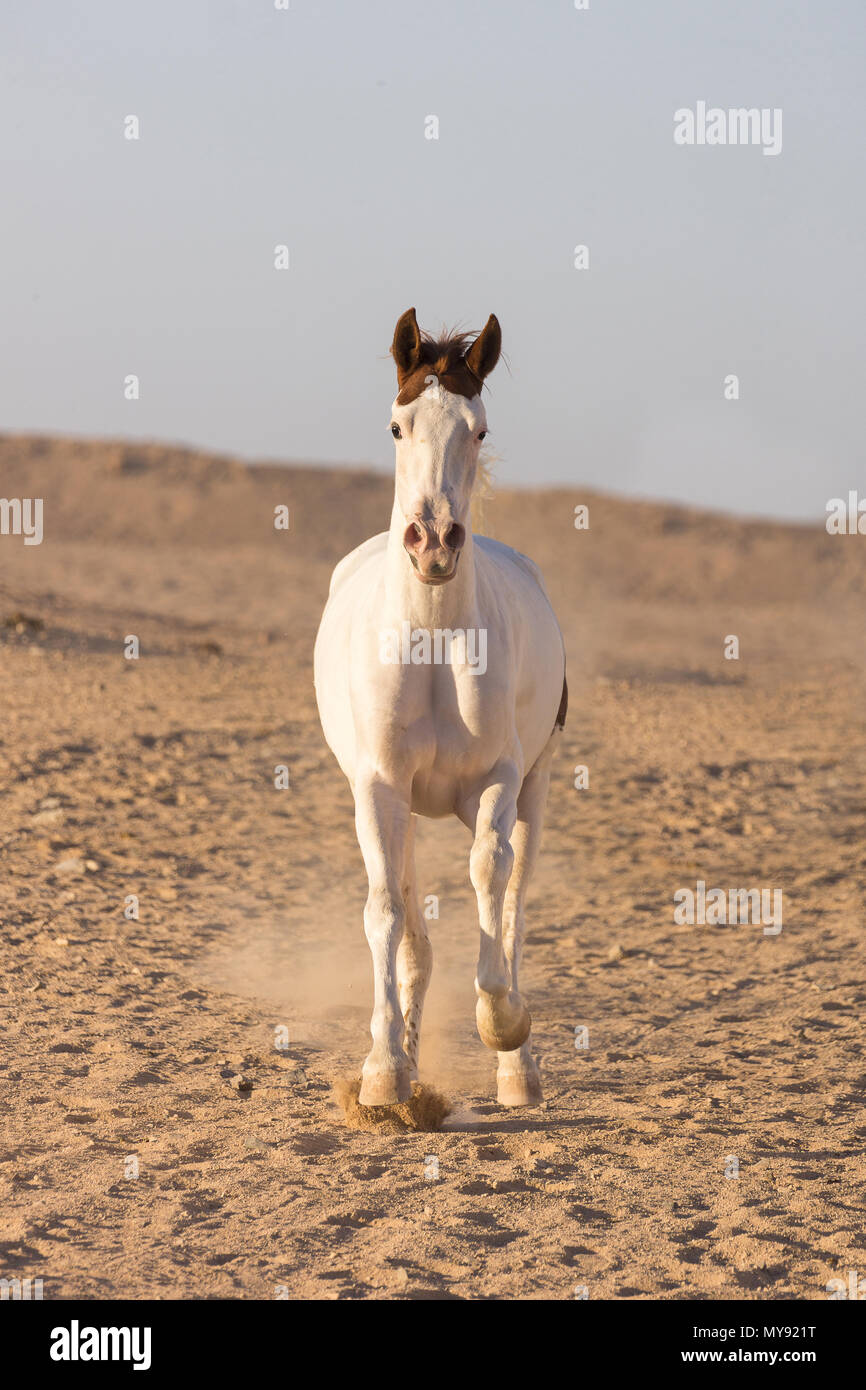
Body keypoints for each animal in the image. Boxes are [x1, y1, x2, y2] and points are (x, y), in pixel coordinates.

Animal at [314, 308, 566, 1108]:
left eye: (478, 430)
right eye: (398, 426)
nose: (433, 542)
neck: (431, 638)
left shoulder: (498, 781)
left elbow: (490, 878)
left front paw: (503, 1025)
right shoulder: (378, 788)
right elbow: (387, 914)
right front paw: (385, 1072)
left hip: (537, 788)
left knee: (515, 903)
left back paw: (518, 1072)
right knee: (412, 928)